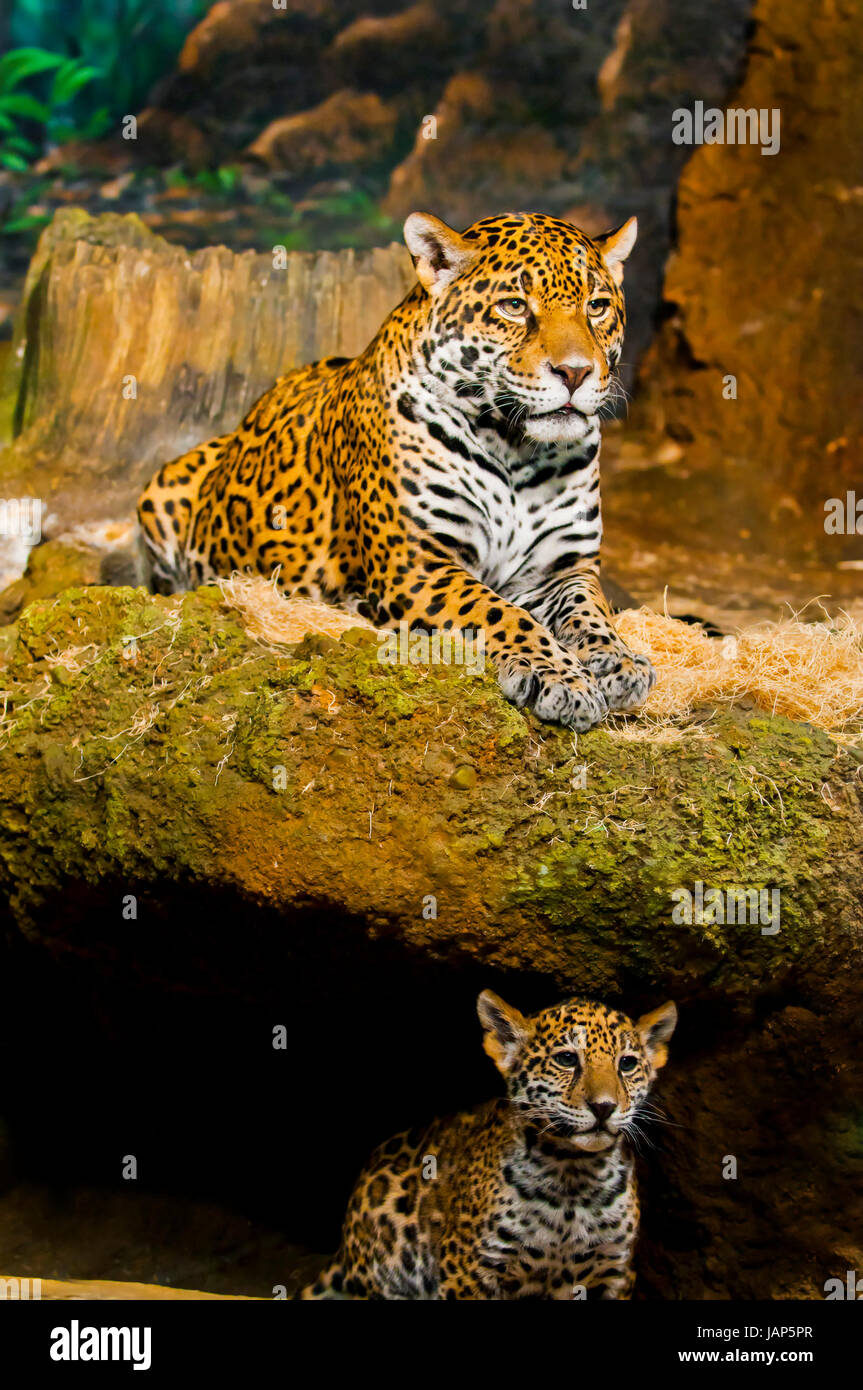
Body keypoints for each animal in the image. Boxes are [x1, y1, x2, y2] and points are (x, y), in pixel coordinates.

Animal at [138, 210, 656, 730]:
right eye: (513, 306)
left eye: (596, 306)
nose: (575, 372)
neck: (515, 448)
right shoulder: (416, 565)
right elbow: (499, 612)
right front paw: (560, 677)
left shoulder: (564, 567)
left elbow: (590, 610)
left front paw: (620, 661)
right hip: (161, 488)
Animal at [298, 990, 677, 1300]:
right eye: (567, 1059)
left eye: (627, 1064)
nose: (604, 1107)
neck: (573, 1177)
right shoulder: (471, 1269)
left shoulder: (613, 1272)